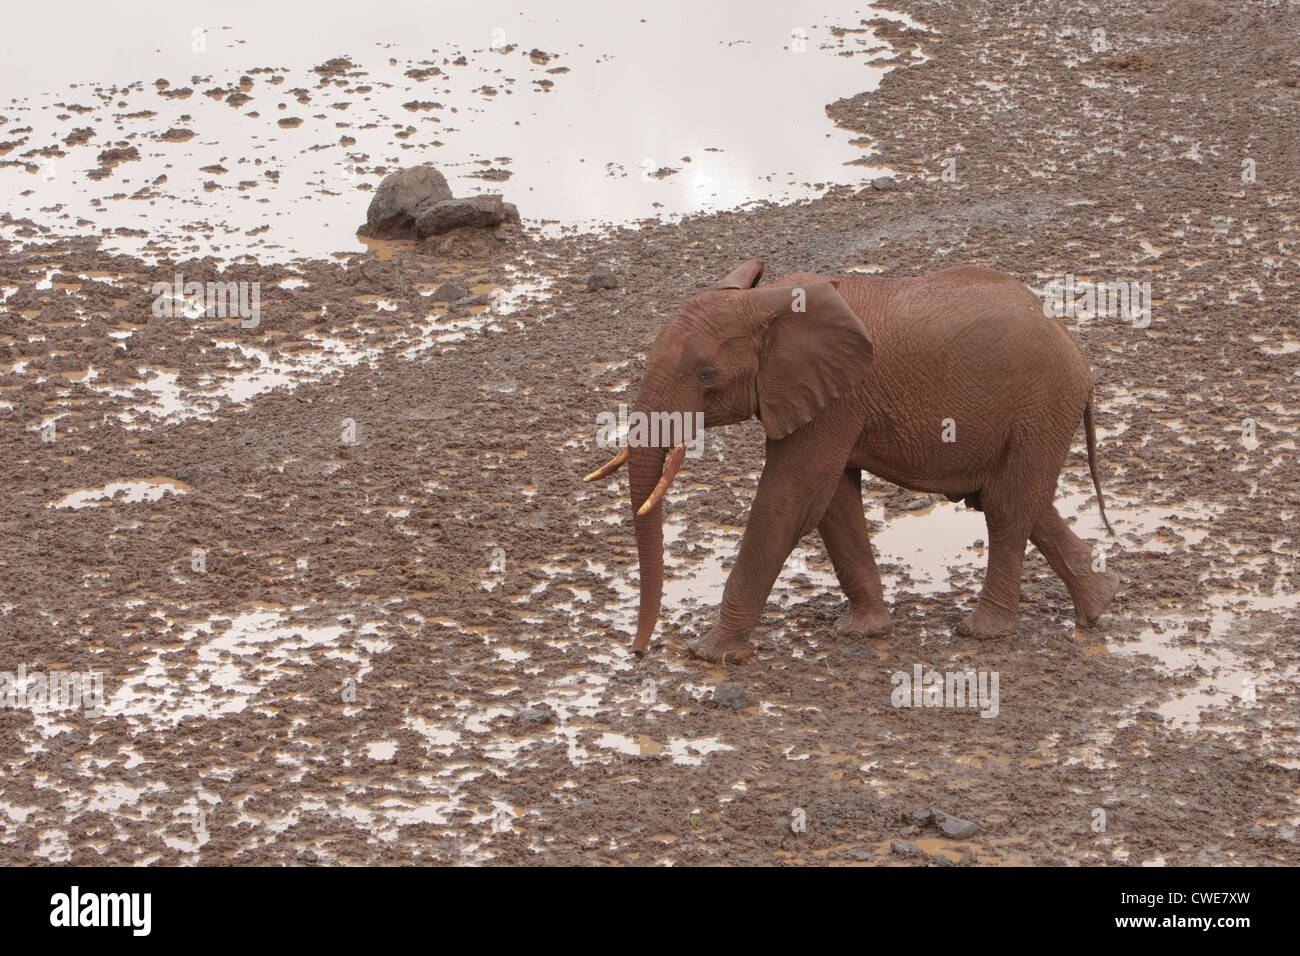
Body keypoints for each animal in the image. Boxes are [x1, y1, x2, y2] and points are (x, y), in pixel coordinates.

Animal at [583, 259, 1121, 663]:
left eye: (708, 375)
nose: (639, 653)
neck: (767, 302)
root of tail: (1075, 350)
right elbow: (833, 502)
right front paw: (864, 632)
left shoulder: (836, 398)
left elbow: (788, 501)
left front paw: (712, 654)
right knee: (1015, 501)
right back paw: (1098, 604)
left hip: (1040, 408)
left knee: (1008, 510)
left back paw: (983, 632)